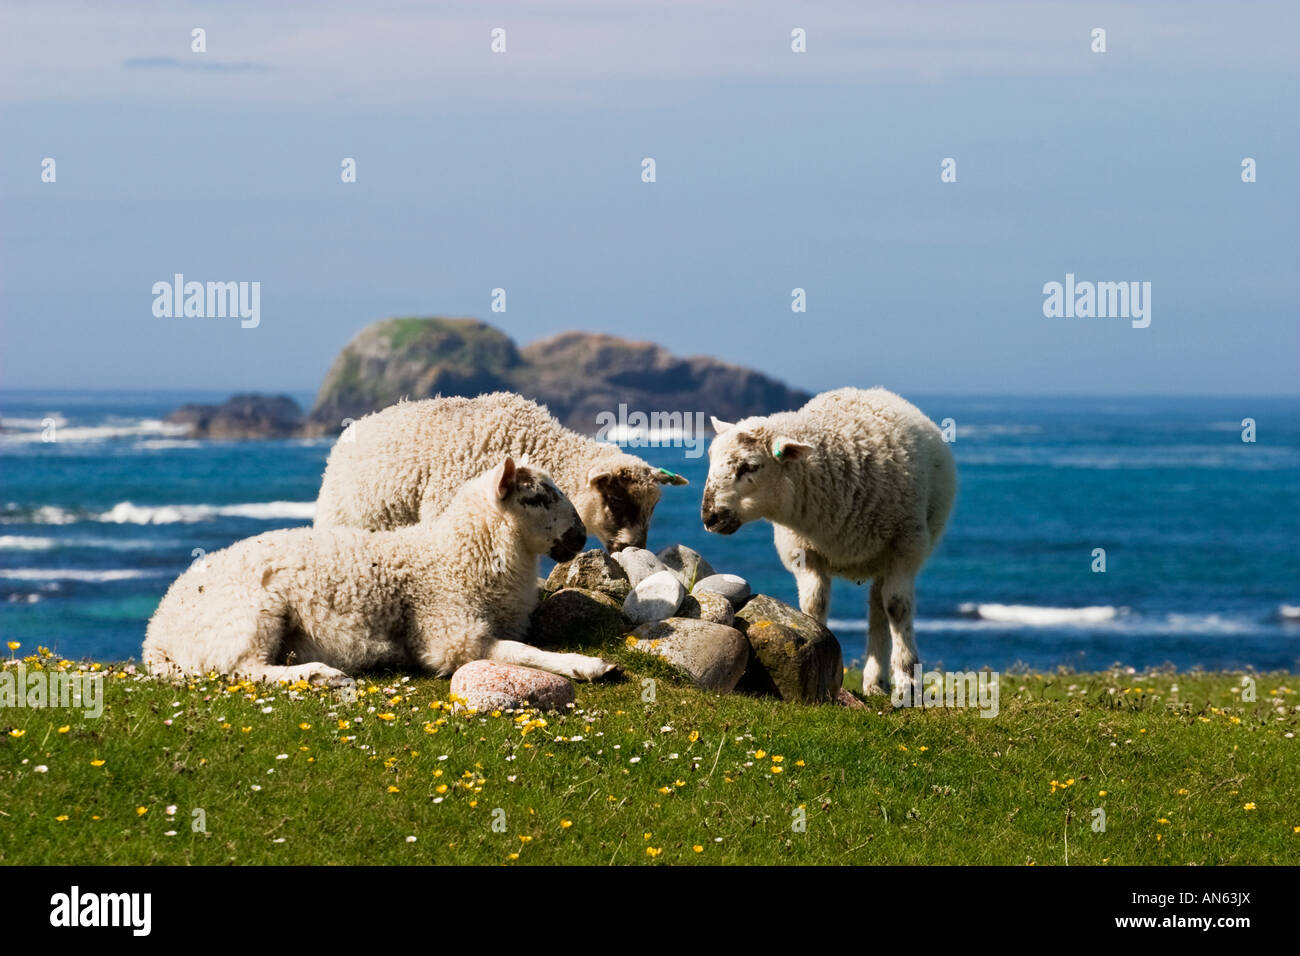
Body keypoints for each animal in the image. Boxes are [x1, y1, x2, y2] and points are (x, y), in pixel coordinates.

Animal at [143, 458, 617, 684]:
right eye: (535, 498)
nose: (580, 536)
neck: (455, 555)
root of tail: (156, 633)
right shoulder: (450, 636)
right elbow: (524, 653)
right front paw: (590, 665)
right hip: (250, 614)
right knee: (244, 669)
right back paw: (319, 676)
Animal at [701, 387, 956, 699]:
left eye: (750, 466)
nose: (709, 517)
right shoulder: (804, 551)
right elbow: (813, 604)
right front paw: (818, 654)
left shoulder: (905, 547)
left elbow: (898, 608)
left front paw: (908, 681)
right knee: (876, 605)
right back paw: (874, 681)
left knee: (882, 606)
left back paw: (878, 680)